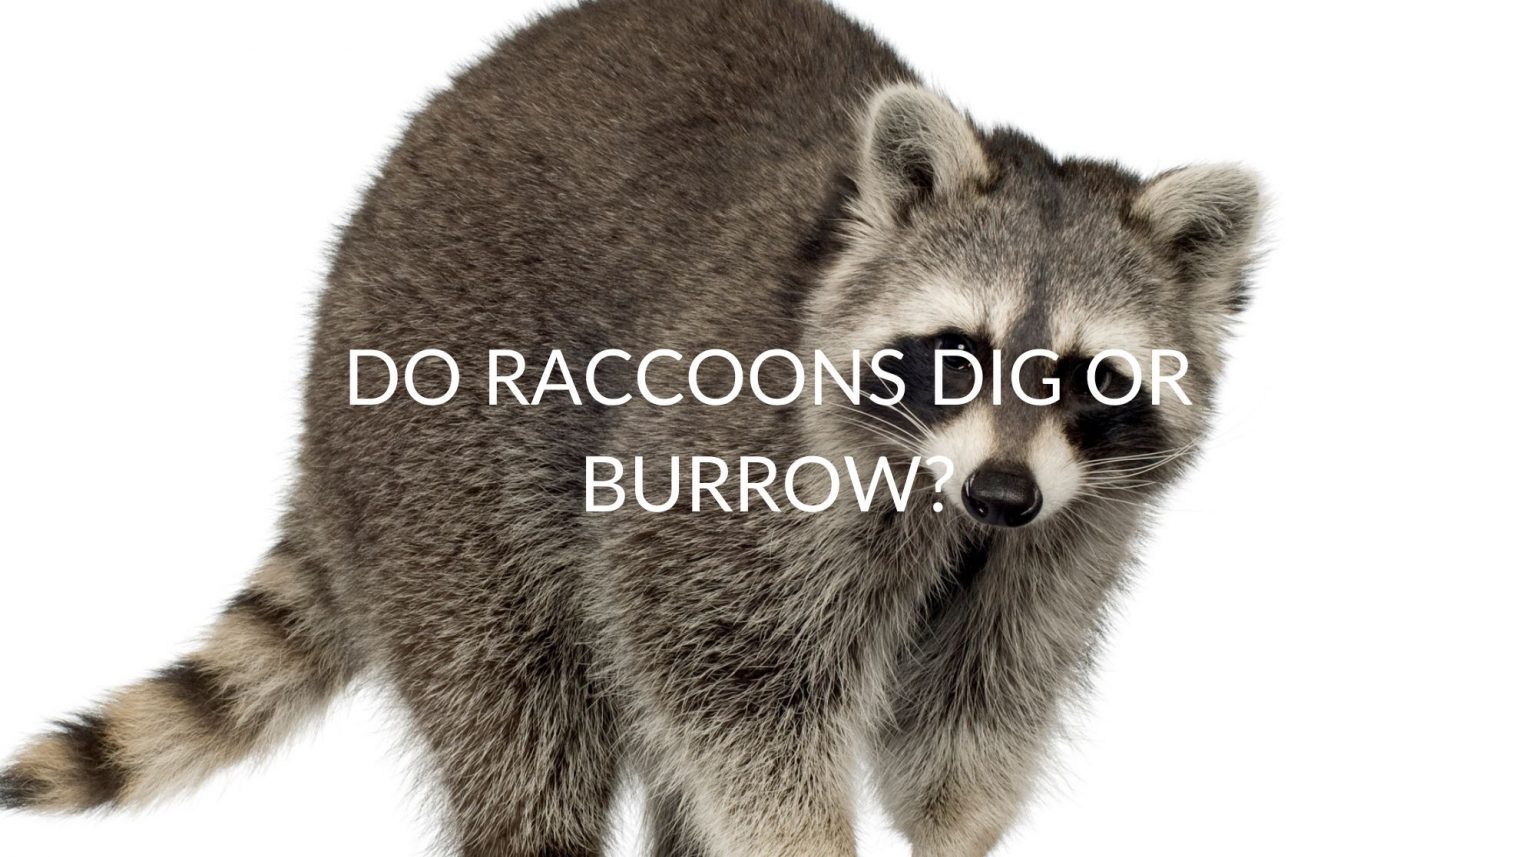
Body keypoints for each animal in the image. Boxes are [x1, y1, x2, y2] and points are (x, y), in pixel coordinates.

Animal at [0, 1, 1262, 855]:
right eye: (960, 350)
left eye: (1090, 377)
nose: (1000, 494)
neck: (938, 485)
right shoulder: (732, 463)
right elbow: (732, 682)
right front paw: (808, 836)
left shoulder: (1067, 535)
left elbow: (980, 701)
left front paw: (956, 826)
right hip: (437, 468)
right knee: (524, 723)